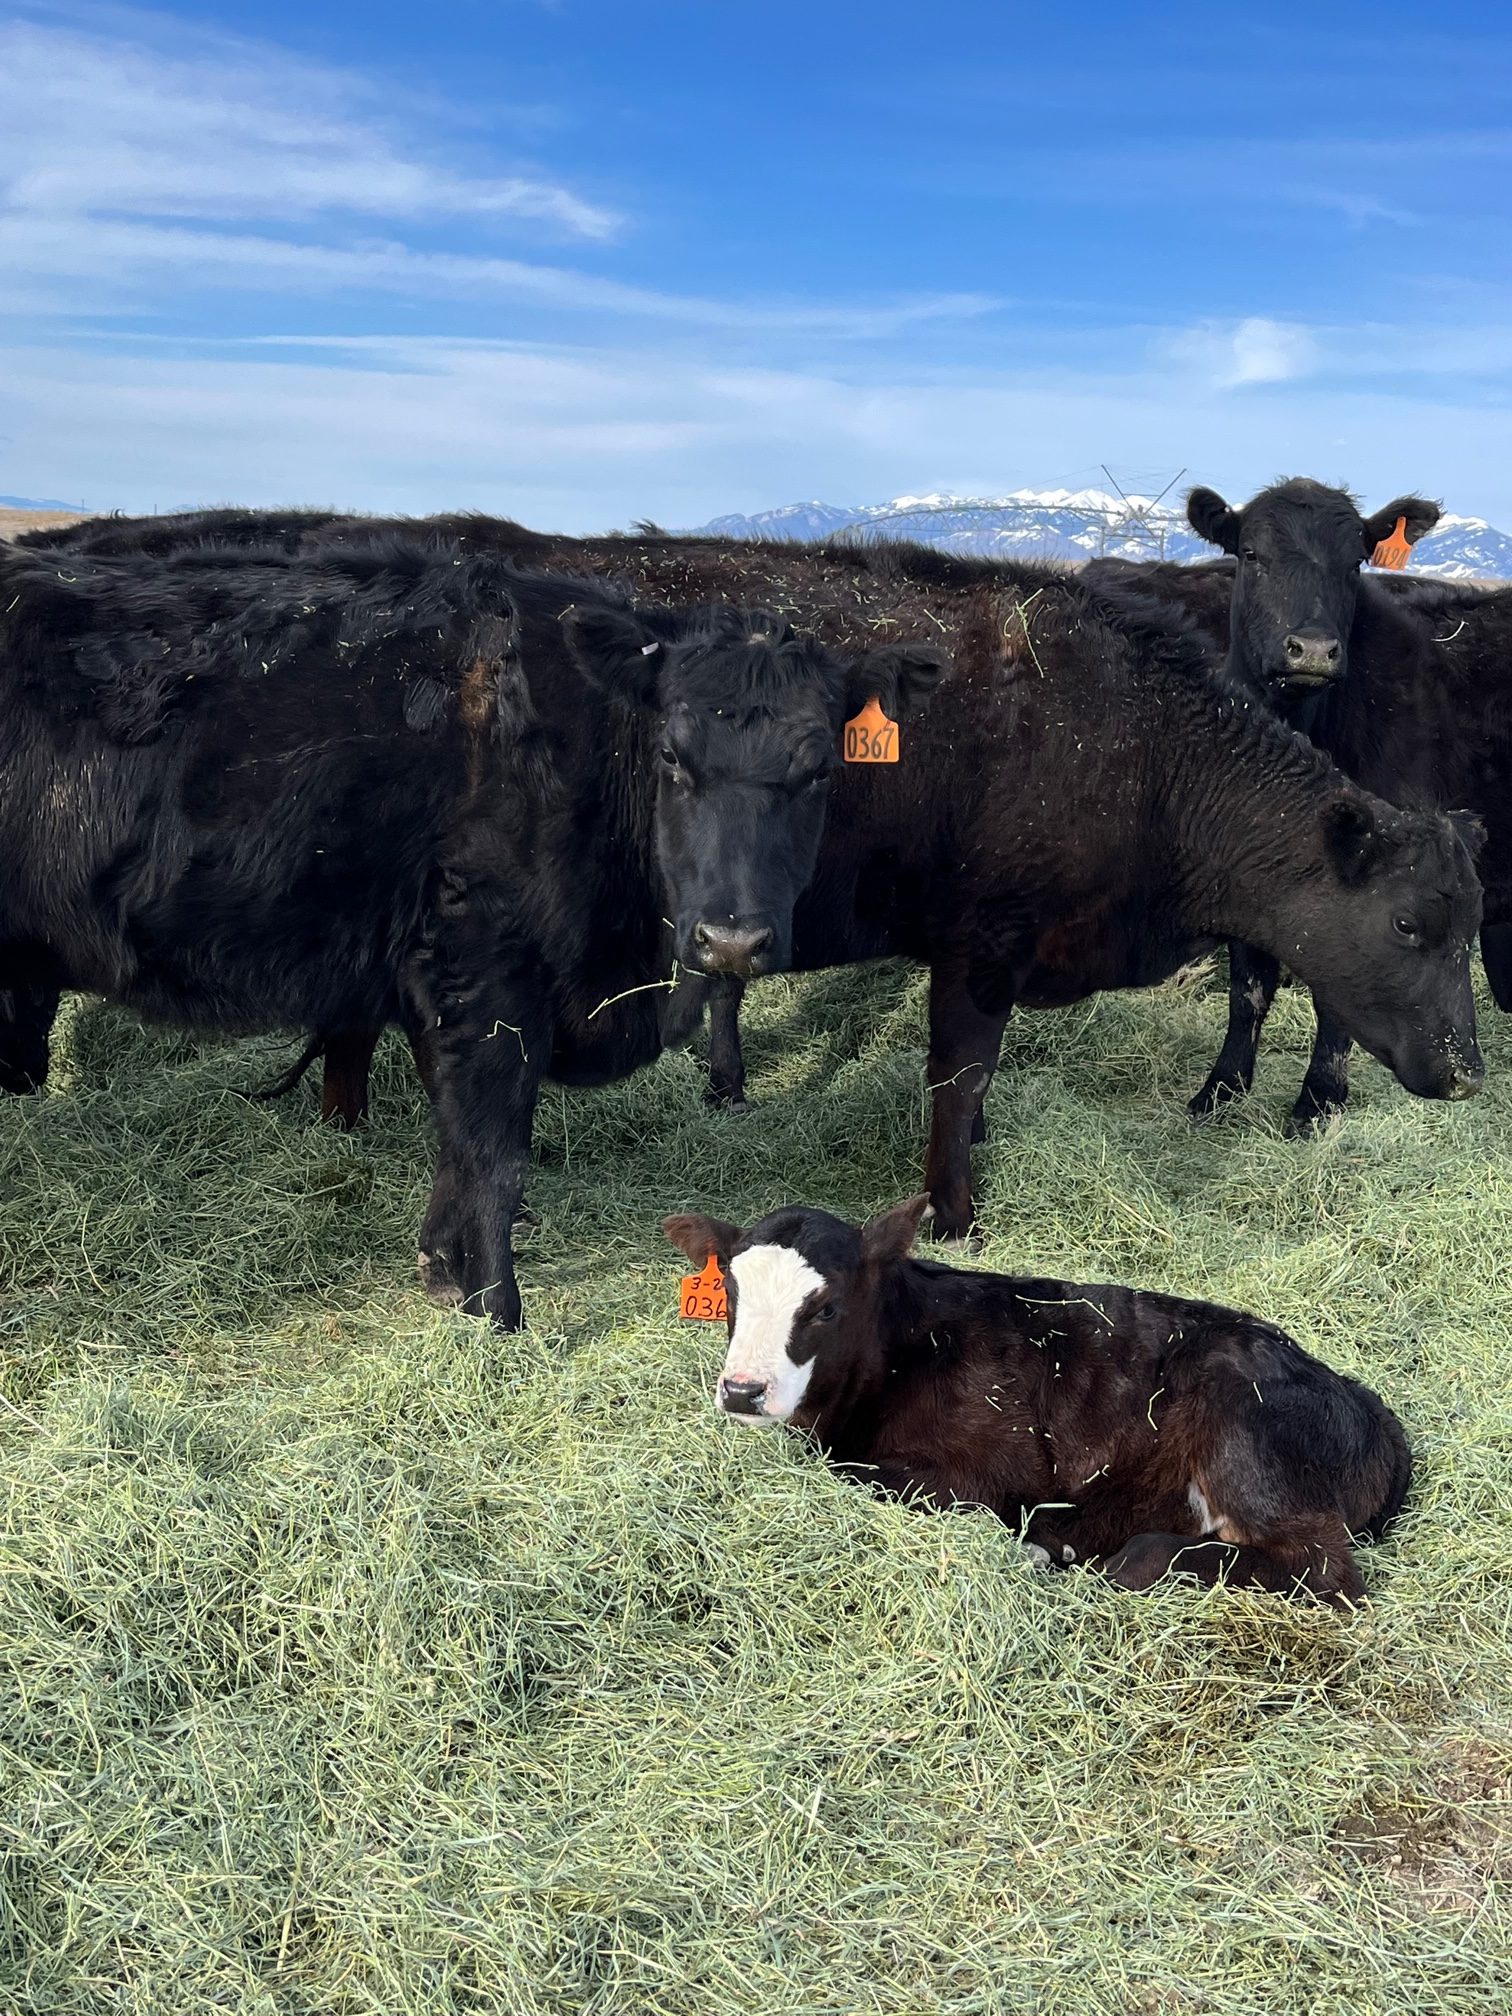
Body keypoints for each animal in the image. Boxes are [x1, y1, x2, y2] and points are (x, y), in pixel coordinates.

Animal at [0, 535, 944, 1326]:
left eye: (819, 768)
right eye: (674, 756)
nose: (732, 941)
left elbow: (459, 1149)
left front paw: (445, 1273)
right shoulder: (485, 971)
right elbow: (494, 1153)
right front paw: (498, 1312)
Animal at [664, 1195, 1411, 1605]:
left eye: (824, 1307)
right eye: (729, 1294)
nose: (742, 1391)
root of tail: (1358, 1395)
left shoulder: (991, 1469)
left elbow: (878, 1479)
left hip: (1247, 1444)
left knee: (1325, 1569)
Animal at [1168, 479, 1512, 1128]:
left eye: (1354, 562)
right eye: (1250, 553)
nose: (1311, 650)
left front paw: (1318, 1100)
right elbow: (1248, 984)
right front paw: (1221, 1089)